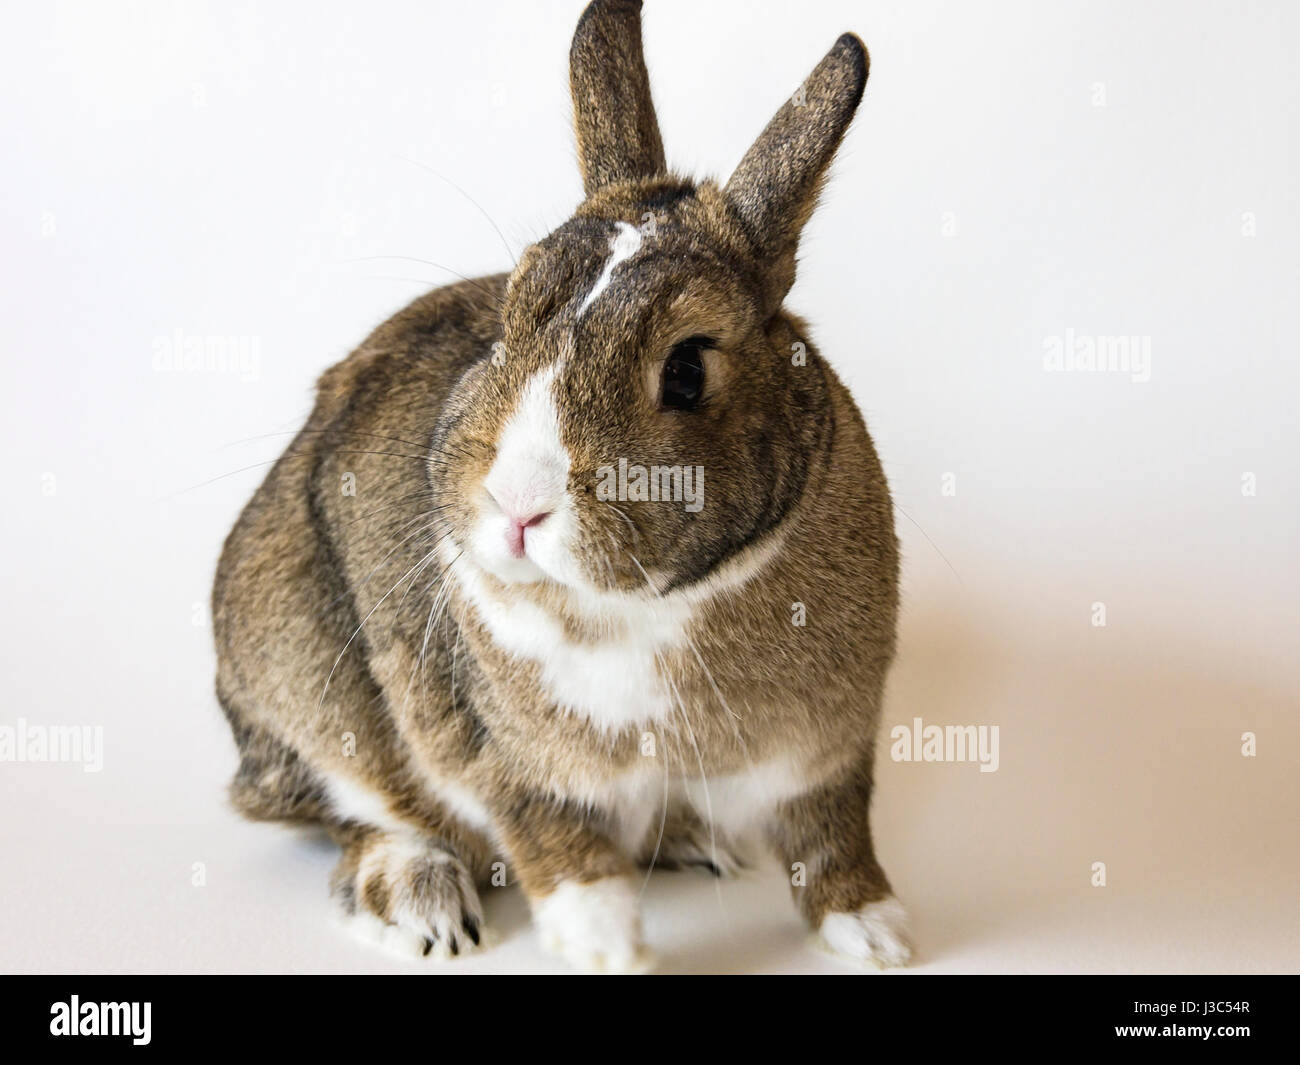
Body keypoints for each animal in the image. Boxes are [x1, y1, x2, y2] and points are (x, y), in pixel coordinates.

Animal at [212, 0, 909, 973]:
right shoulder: (513, 761)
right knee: (359, 814)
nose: (516, 506)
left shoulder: (831, 749)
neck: (655, 603)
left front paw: (878, 933)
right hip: (301, 683)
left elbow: (835, 835)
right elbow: (564, 848)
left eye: (687, 369)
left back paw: (694, 844)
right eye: (507, 321)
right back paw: (424, 902)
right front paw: (608, 949)